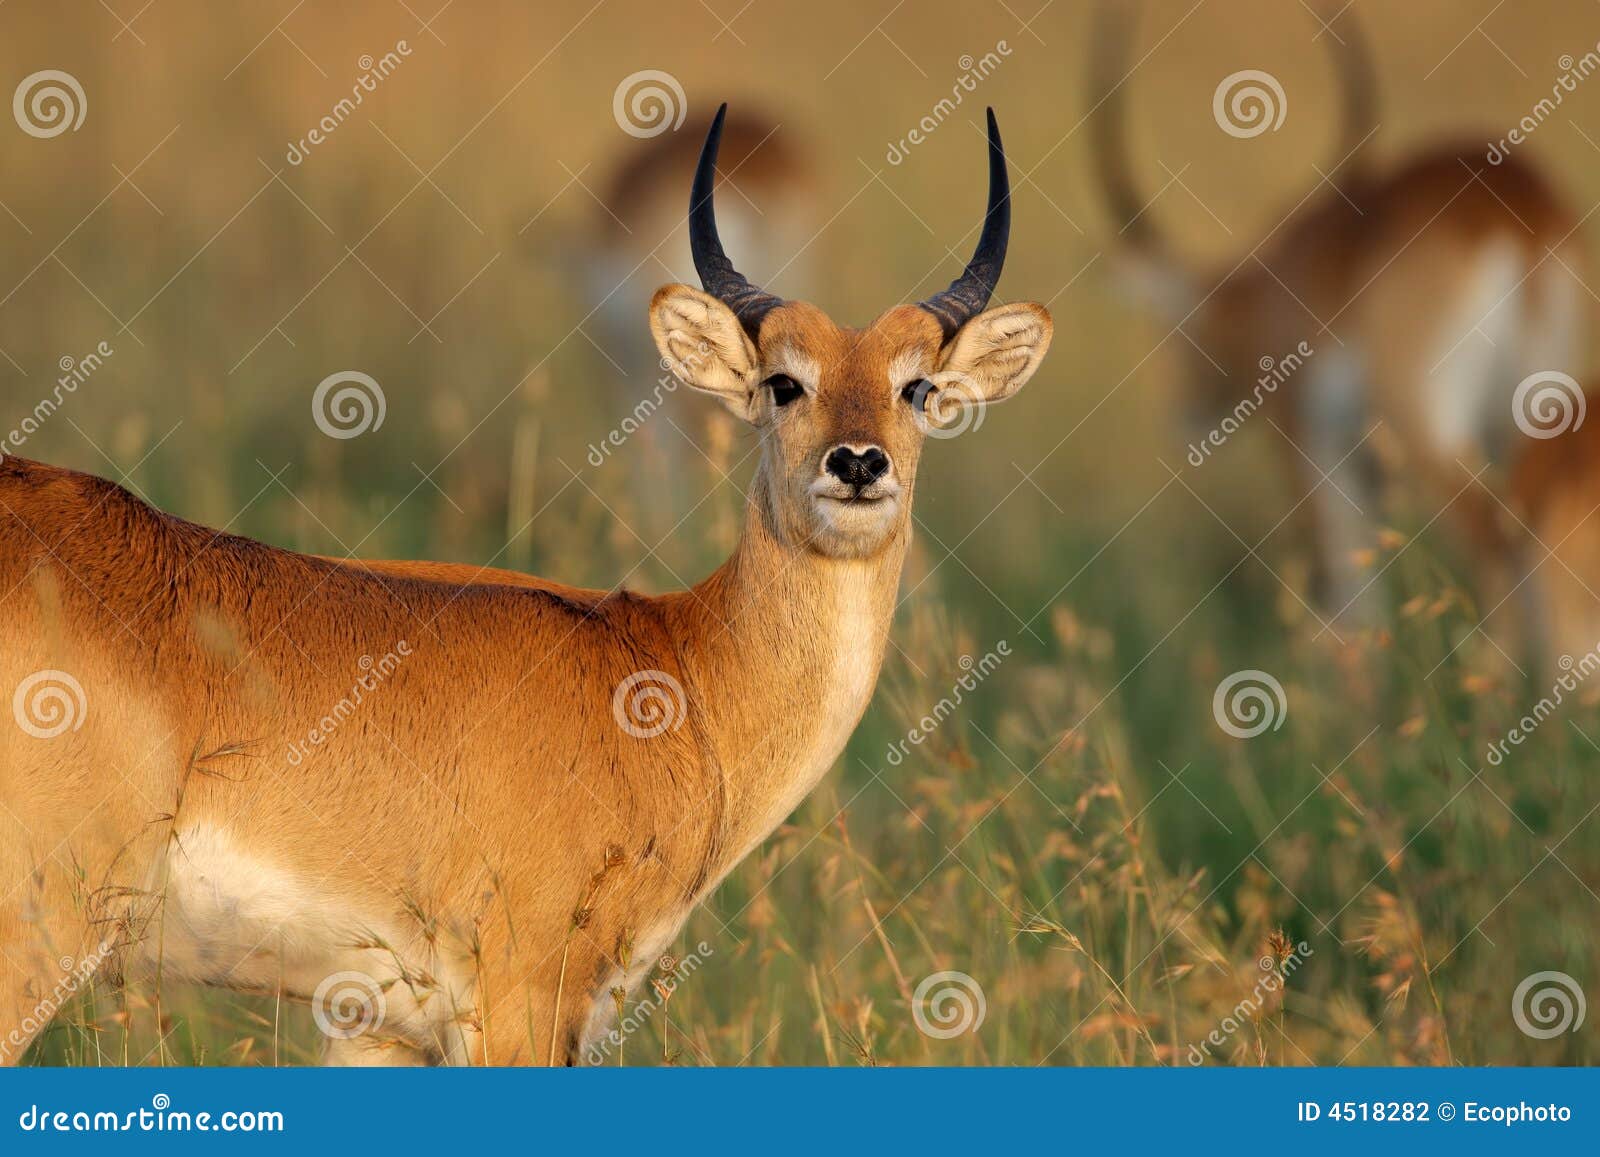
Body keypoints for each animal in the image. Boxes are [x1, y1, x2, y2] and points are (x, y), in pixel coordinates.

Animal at [0, 105, 1051, 1065]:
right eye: (784, 381)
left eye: (919, 387)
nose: (859, 464)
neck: (677, 670)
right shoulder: (522, 1002)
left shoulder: (377, 1027)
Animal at [1092, 1, 1589, 655]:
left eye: (1174, 334)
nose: (1183, 416)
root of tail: (1515, 213)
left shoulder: (1312, 450)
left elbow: (1354, 612)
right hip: (1538, 415)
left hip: (1431, 429)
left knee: (1489, 544)